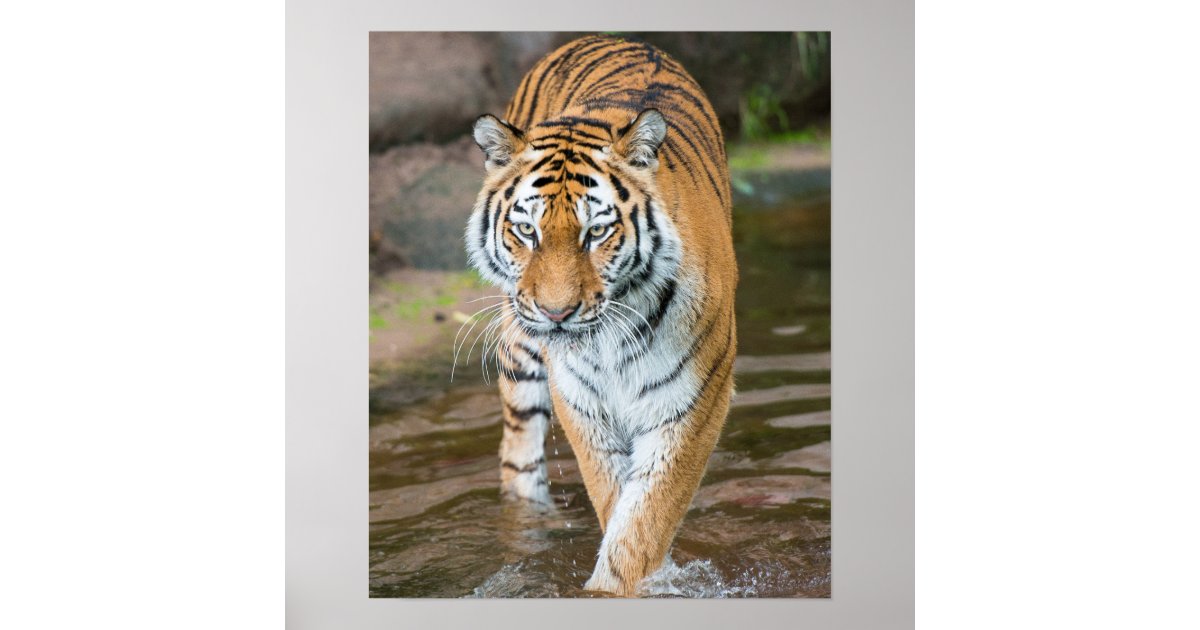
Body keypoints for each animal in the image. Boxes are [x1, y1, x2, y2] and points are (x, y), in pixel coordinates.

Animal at [464, 34, 737, 597]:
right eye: (527, 231)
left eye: (596, 233)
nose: (556, 313)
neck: (610, 341)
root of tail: (610, 37)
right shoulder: (582, 403)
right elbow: (614, 499)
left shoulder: (694, 401)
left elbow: (644, 518)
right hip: (519, 347)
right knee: (518, 452)